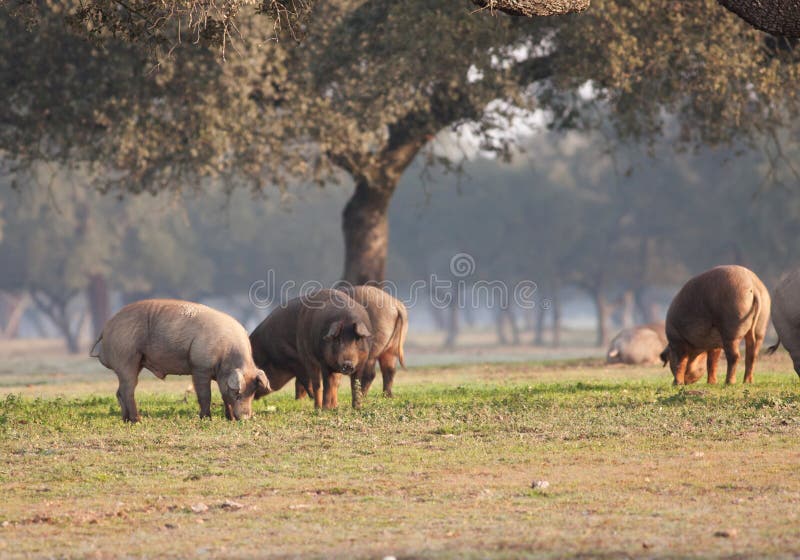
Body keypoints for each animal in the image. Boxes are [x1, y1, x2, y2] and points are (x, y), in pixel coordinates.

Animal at [90, 299, 269, 422]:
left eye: (253, 392)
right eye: (238, 393)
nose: (245, 418)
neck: (226, 354)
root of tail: (106, 327)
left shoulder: (220, 376)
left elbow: (223, 395)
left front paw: (229, 419)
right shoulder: (199, 367)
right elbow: (205, 395)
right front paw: (206, 418)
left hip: (133, 362)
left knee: (120, 391)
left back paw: (126, 419)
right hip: (126, 357)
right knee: (128, 390)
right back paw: (137, 420)